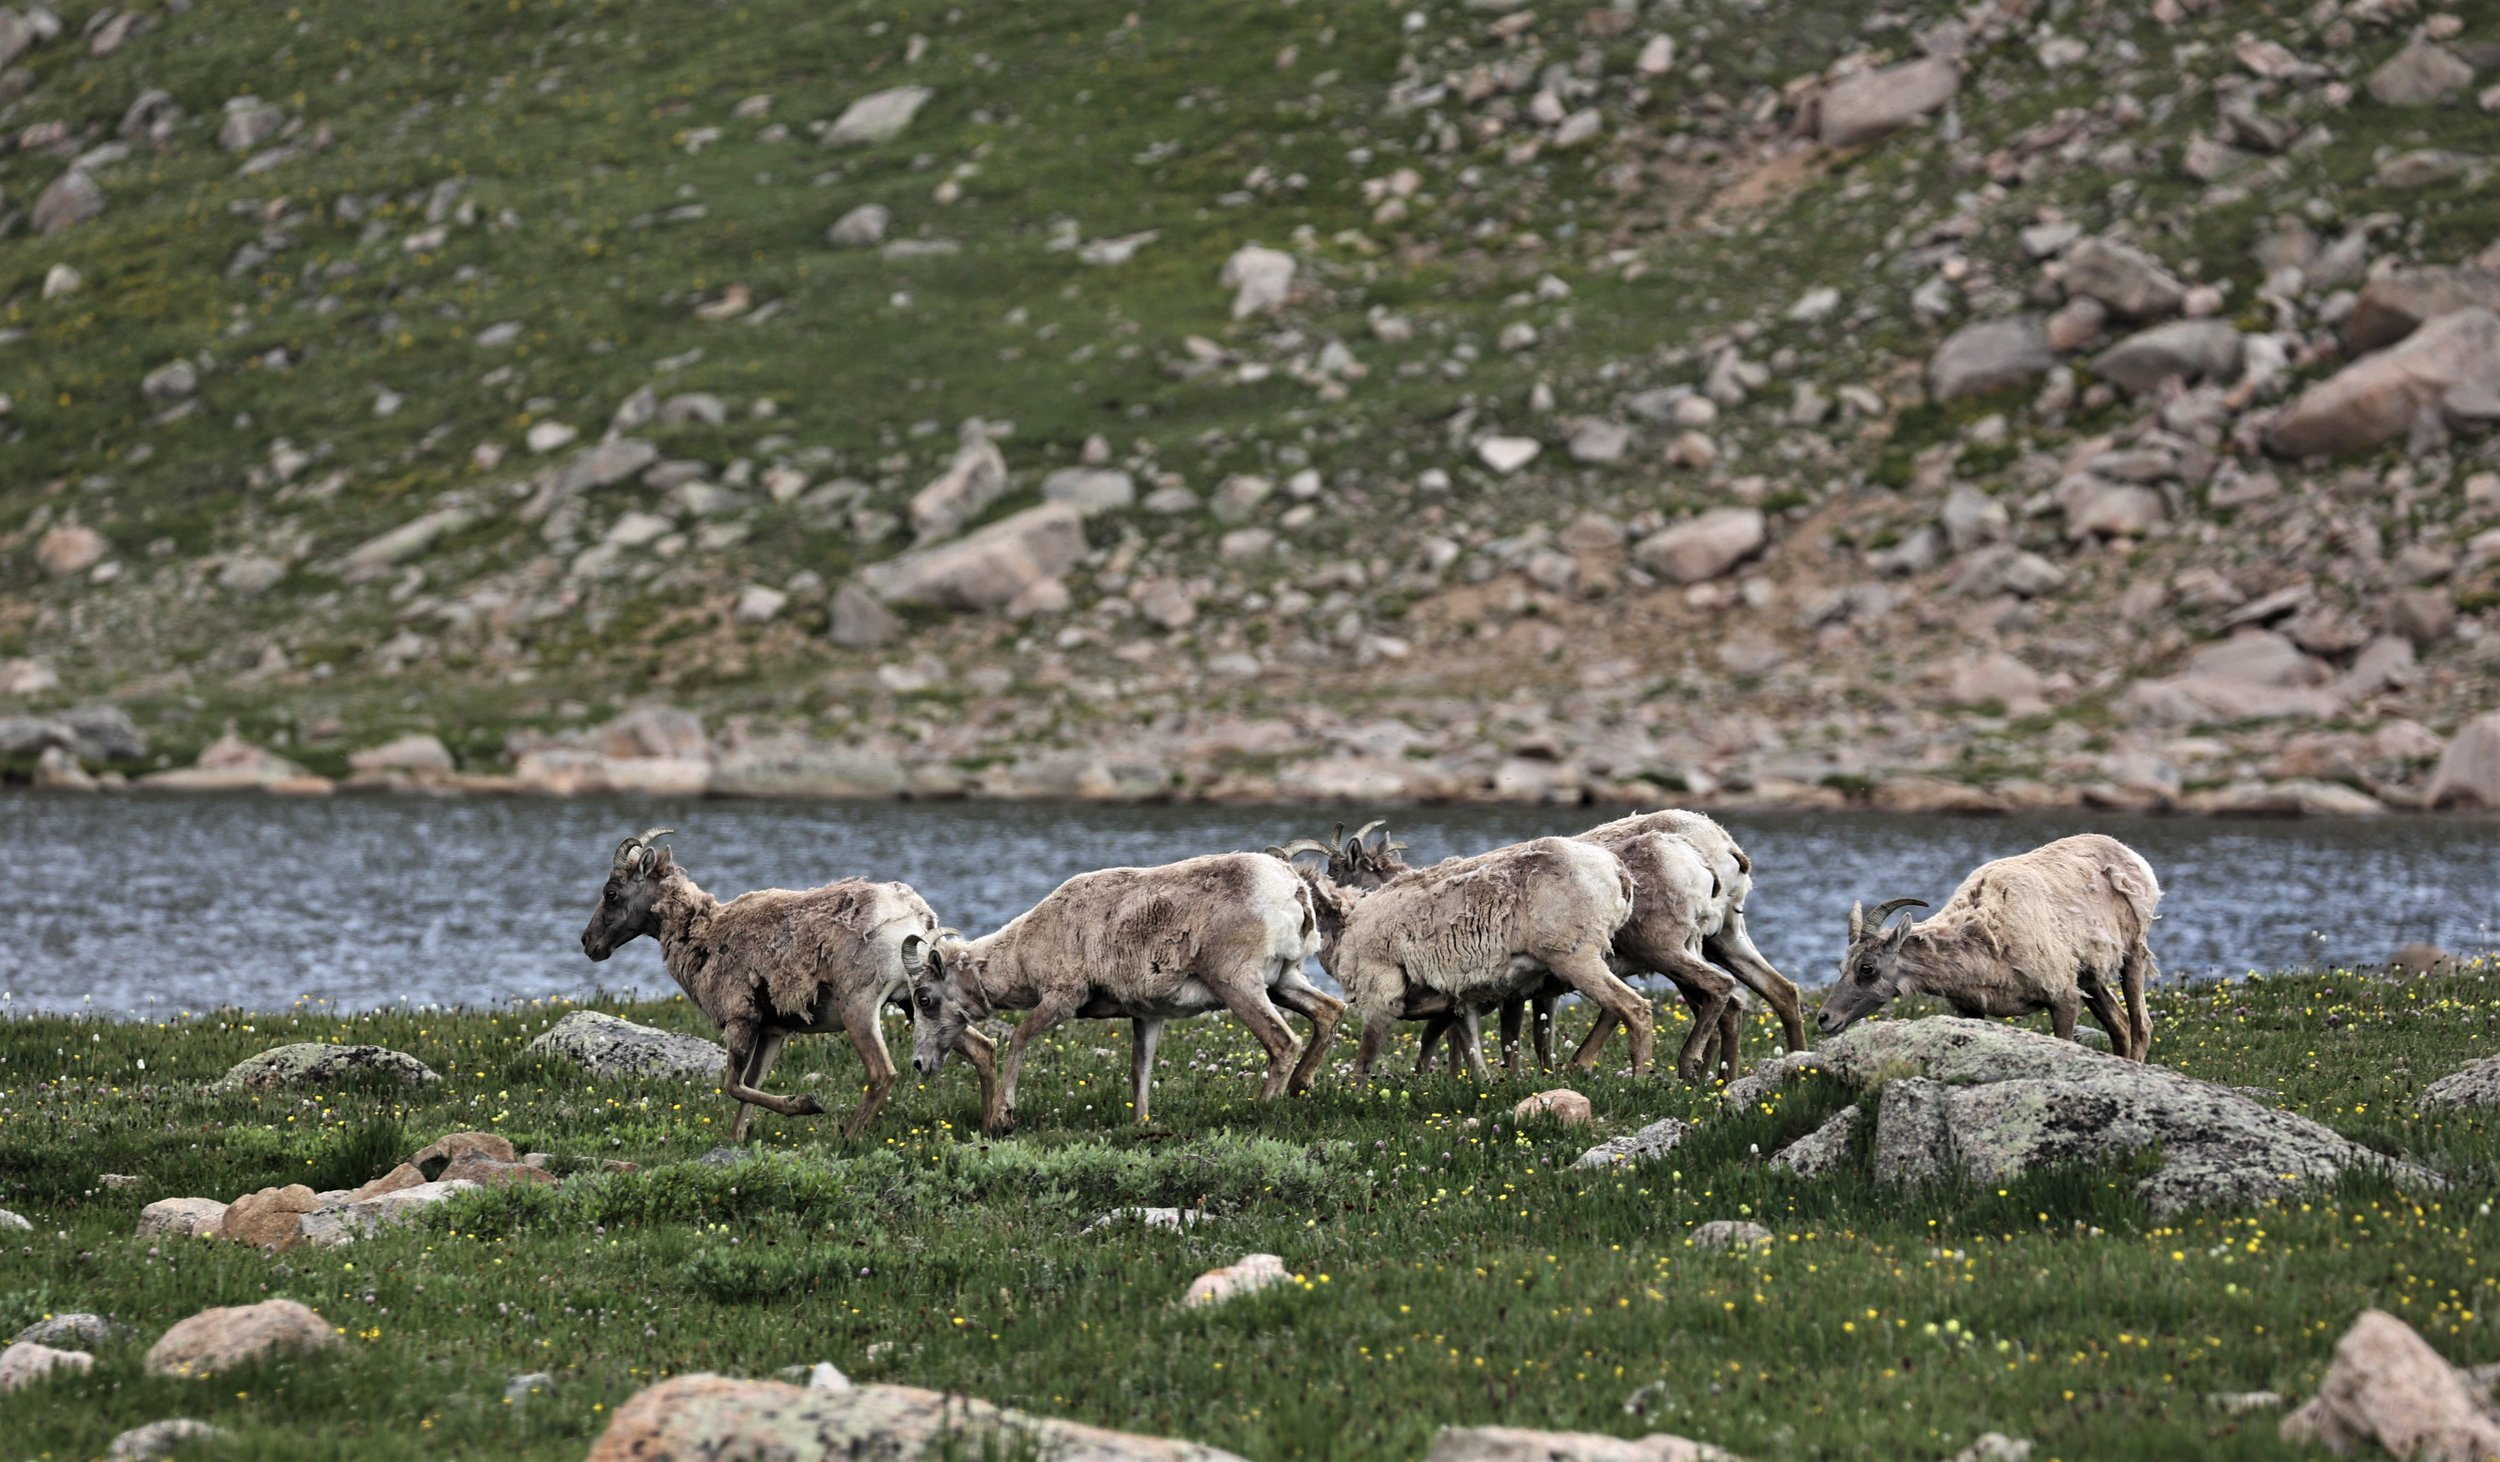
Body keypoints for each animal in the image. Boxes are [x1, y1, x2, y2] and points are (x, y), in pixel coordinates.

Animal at [578, 828, 994, 1141]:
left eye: (611, 892)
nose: (588, 943)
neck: (704, 932)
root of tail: (917, 917)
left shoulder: (741, 1019)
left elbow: (733, 1084)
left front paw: (807, 1104)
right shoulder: (773, 1030)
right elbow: (749, 1086)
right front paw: (736, 1140)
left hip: (859, 1006)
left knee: (883, 1073)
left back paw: (845, 1139)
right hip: (917, 1004)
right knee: (983, 1049)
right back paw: (994, 1123)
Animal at [899, 852, 1339, 1136]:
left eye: (924, 998)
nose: (919, 1063)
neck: (1027, 947)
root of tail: (1293, 889)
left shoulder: (1063, 998)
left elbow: (1021, 1037)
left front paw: (1001, 1119)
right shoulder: (1147, 1015)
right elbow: (1139, 1072)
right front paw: (1141, 1125)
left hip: (1239, 983)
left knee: (1283, 1041)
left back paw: (1262, 1108)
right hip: (1282, 980)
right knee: (1329, 1011)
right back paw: (1301, 1086)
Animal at [1275, 832, 1650, 1082]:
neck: (1349, 923)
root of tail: (1617, 872)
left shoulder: (1380, 998)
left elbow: (1363, 1065)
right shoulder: (1461, 1004)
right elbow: (1473, 1057)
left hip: (1577, 959)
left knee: (1634, 1008)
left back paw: (1640, 1078)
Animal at [1819, 832, 2160, 1059]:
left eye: (1867, 967)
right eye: (1841, 966)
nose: (1825, 1019)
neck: (1989, 943)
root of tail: (2137, 861)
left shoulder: (2063, 996)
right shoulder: (1970, 1010)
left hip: (2133, 954)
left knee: (2141, 1026)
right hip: (2090, 977)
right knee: (2119, 1024)